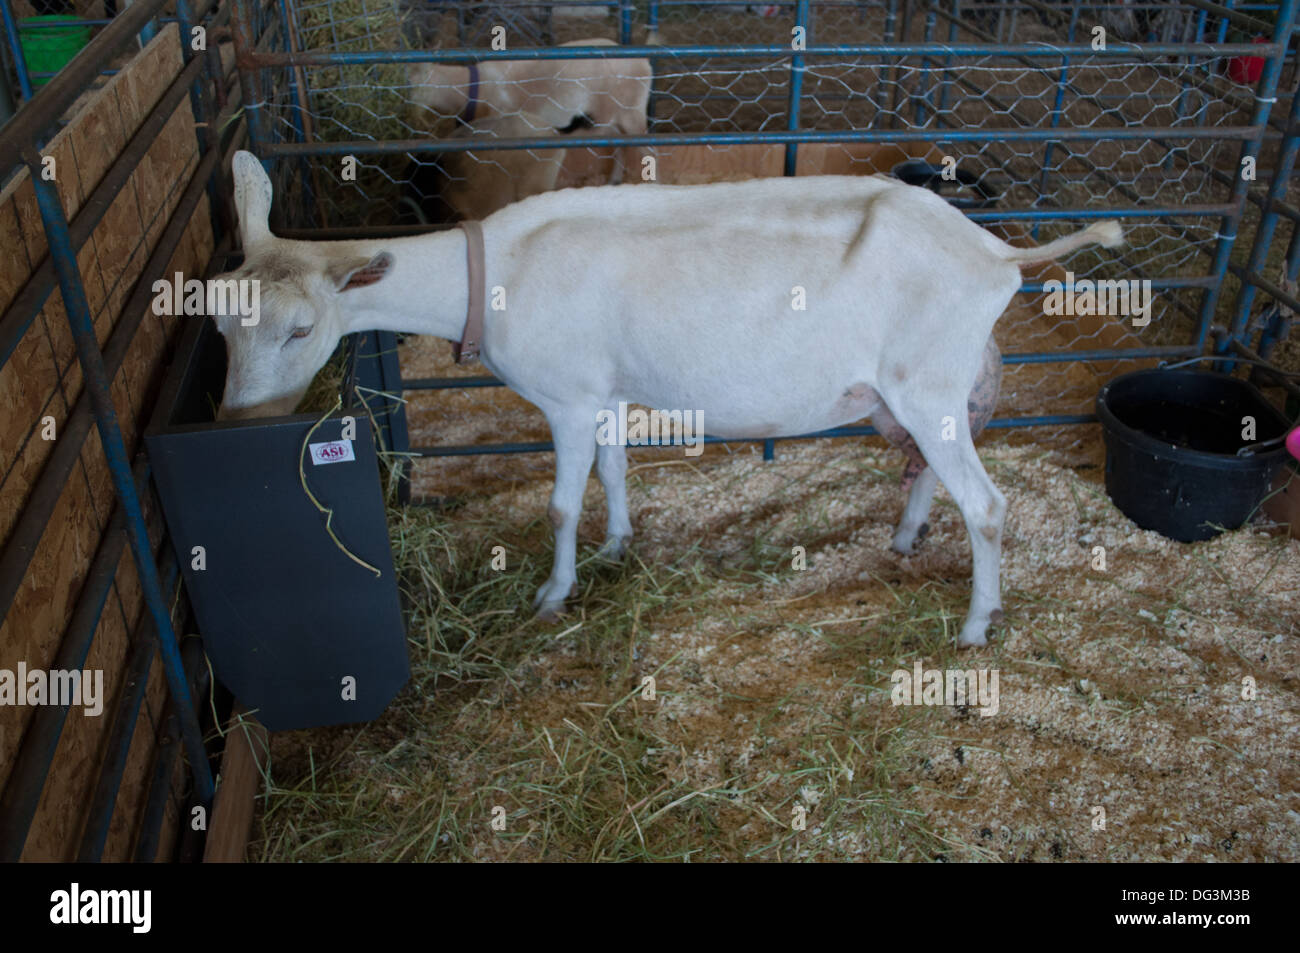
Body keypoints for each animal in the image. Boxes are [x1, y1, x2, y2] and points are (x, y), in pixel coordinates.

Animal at [213, 150, 1122, 648]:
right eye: (218, 321)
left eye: (300, 329)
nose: (236, 421)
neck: (495, 273)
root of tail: (997, 256)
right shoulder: (606, 391)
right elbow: (614, 474)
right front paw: (618, 546)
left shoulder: (566, 396)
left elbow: (560, 505)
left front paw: (551, 595)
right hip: (919, 394)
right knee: (933, 473)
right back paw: (905, 539)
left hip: (926, 382)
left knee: (990, 505)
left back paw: (975, 625)